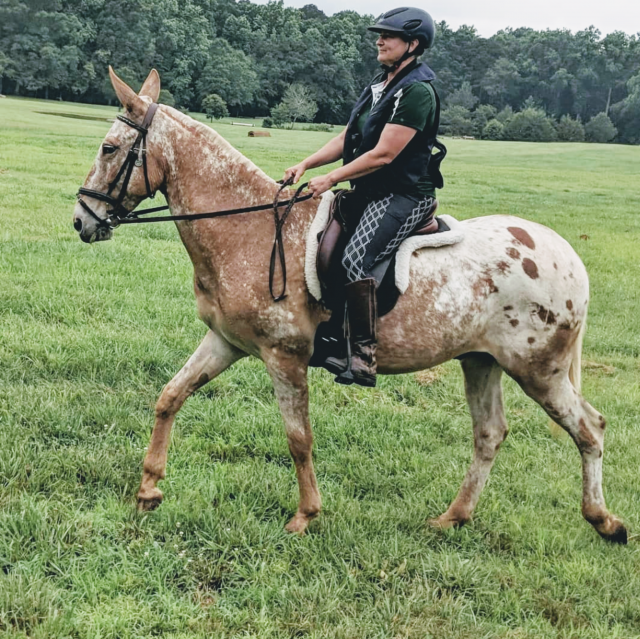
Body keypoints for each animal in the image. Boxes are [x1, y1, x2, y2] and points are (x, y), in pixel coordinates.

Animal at [72, 68, 627, 543]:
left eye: (109, 147)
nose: (82, 220)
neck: (247, 228)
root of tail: (567, 256)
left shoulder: (285, 356)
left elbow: (298, 438)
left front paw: (305, 516)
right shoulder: (225, 342)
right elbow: (170, 397)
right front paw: (148, 490)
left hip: (539, 370)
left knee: (589, 429)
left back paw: (604, 521)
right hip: (481, 361)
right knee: (490, 433)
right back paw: (453, 517)